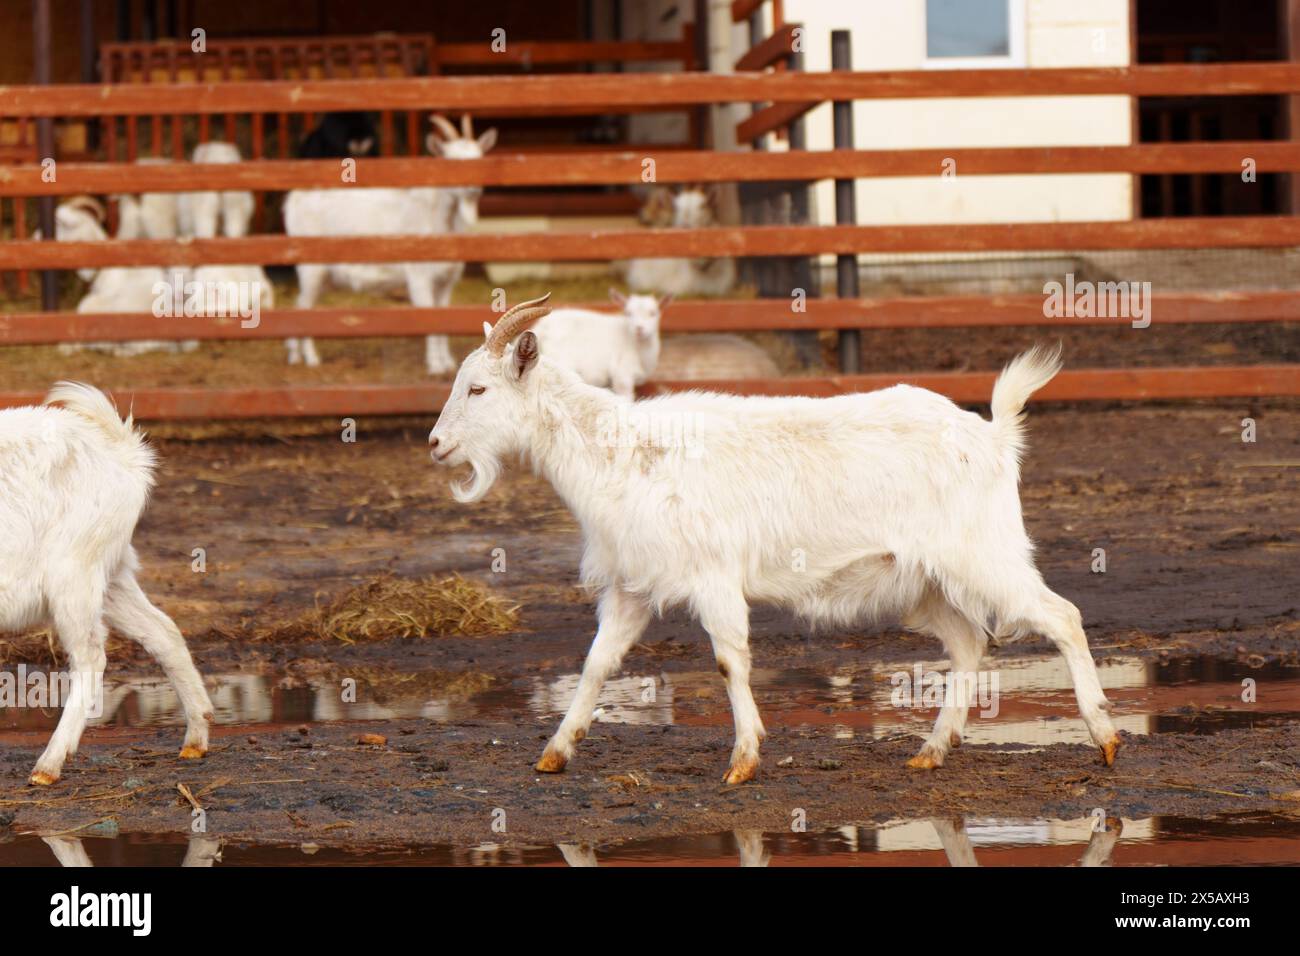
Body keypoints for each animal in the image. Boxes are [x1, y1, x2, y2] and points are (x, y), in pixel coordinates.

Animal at [0, 384, 213, 786]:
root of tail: (121, 449)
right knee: (163, 632)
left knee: (91, 656)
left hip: (73, 575)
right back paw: (196, 736)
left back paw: (49, 764)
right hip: (111, 575)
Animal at [282, 113, 496, 372]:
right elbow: (430, 321)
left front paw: (447, 362)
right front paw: (435, 365)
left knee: (299, 304)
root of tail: (293, 200)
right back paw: (311, 357)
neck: (435, 216)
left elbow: (444, 321)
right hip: (311, 268)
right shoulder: (419, 277)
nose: (473, 189)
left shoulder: (446, 281)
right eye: (450, 160)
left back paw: (295, 354)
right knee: (304, 307)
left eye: (479, 157)